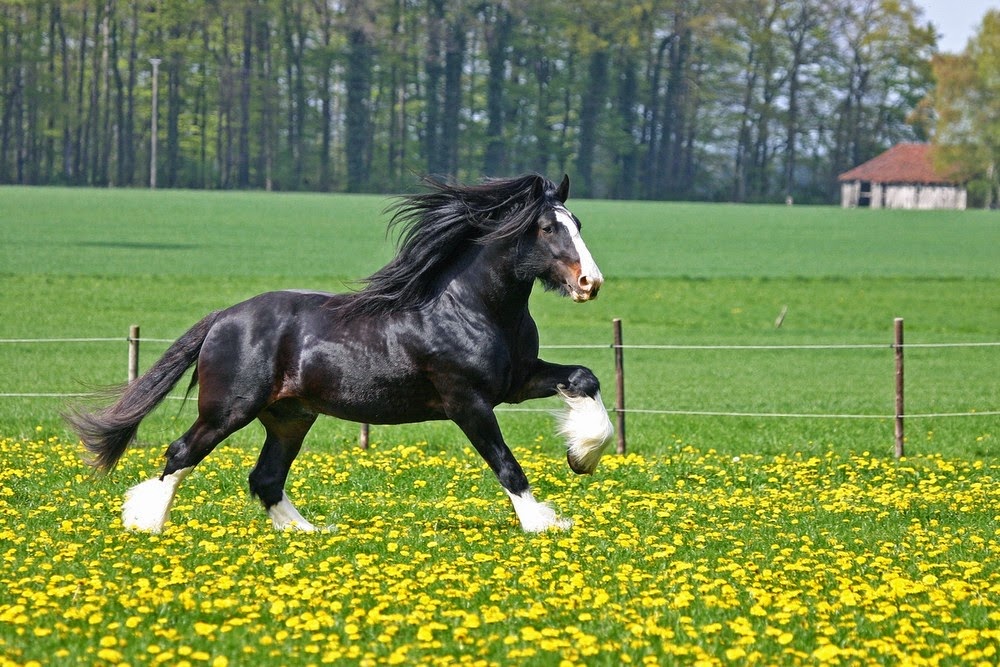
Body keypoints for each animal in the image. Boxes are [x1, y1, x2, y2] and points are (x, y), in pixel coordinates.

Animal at [65, 173, 613, 534]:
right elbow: (505, 463)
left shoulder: (516, 382)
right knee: (180, 453)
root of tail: (222, 317)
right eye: (547, 228)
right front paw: (543, 522)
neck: (471, 307)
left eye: (578, 222)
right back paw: (143, 523)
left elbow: (584, 378)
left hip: (290, 416)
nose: (591, 282)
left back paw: (308, 533)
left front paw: (581, 456)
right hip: (228, 410)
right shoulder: (467, 401)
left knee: (265, 477)